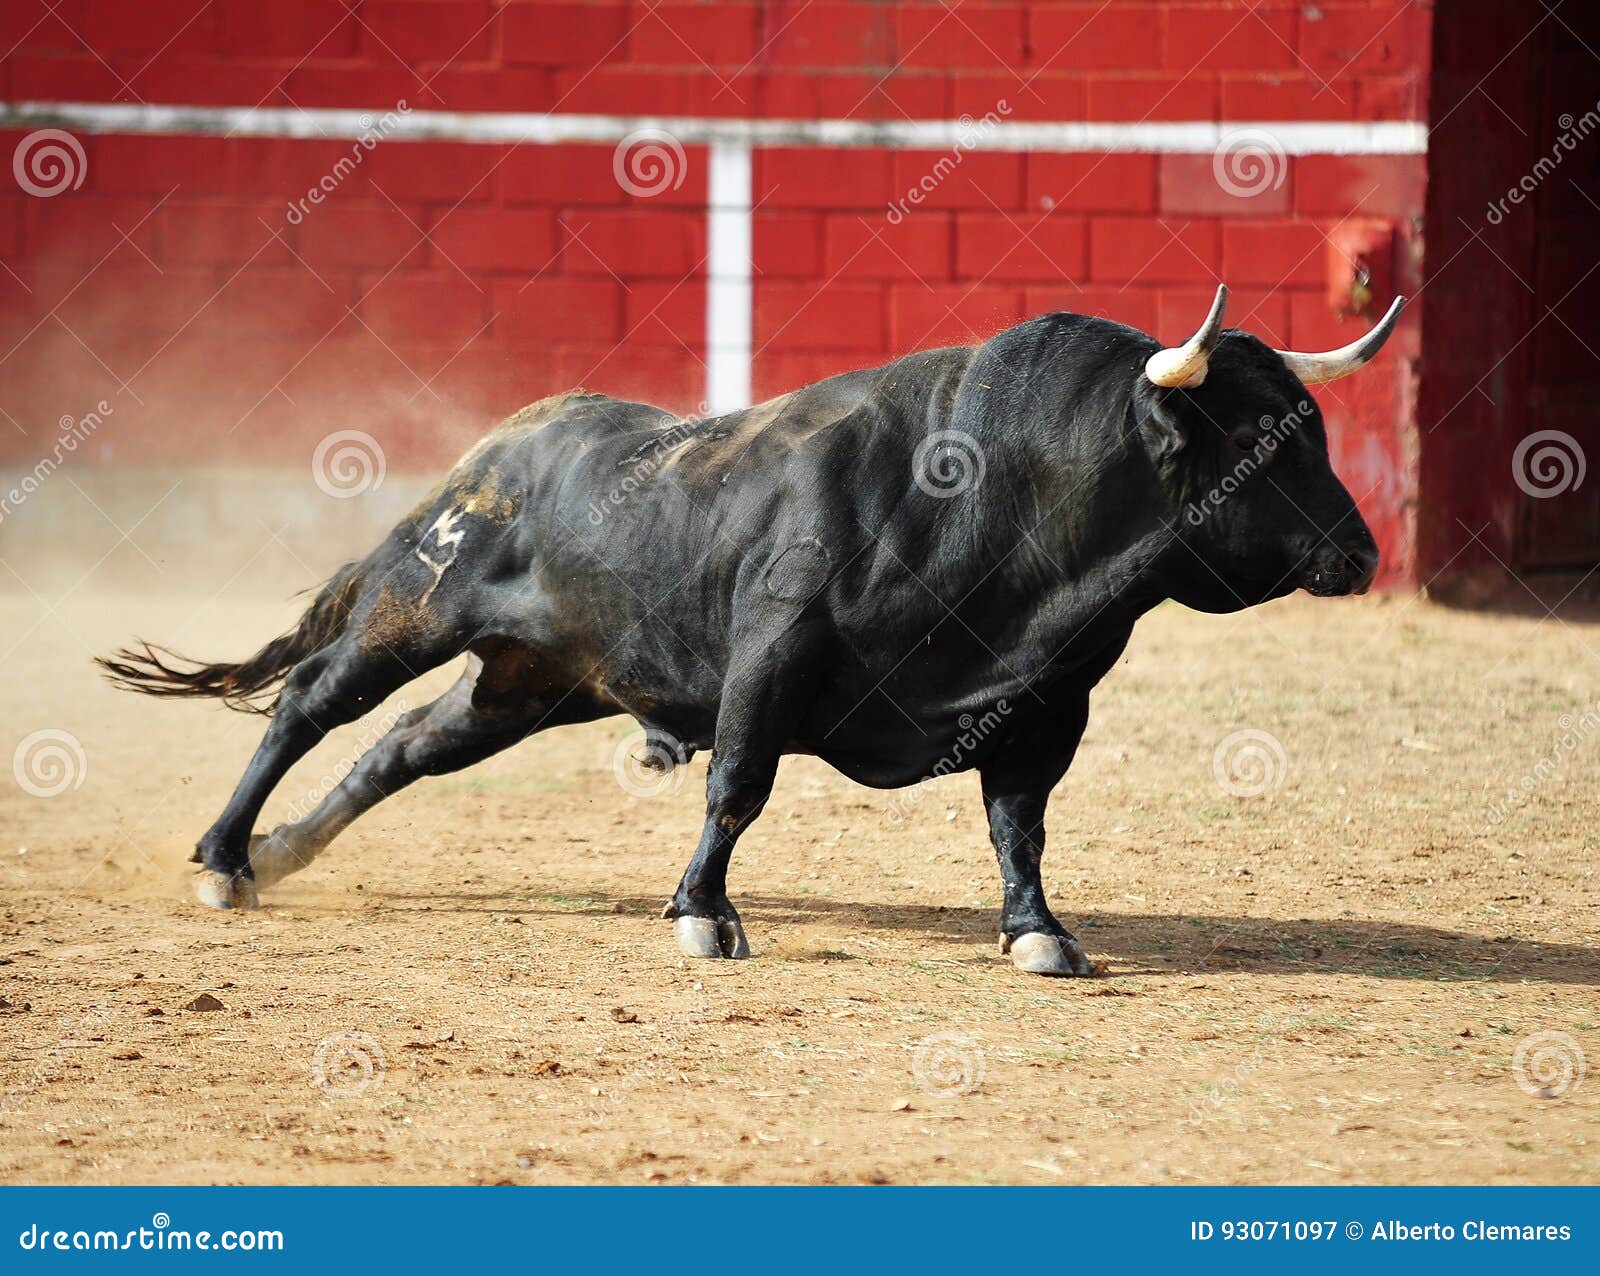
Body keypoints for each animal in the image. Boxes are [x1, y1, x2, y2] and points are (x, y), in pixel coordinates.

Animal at [99, 285, 1400, 976]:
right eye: (1261, 441)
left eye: (1317, 425)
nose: (1363, 553)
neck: (1001, 498)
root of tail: (500, 447)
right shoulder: (772, 656)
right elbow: (737, 786)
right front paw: (700, 914)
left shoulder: (1046, 702)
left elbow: (1017, 824)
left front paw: (1039, 933)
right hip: (413, 609)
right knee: (314, 703)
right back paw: (226, 860)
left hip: (527, 683)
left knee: (401, 748)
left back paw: (283, 852)